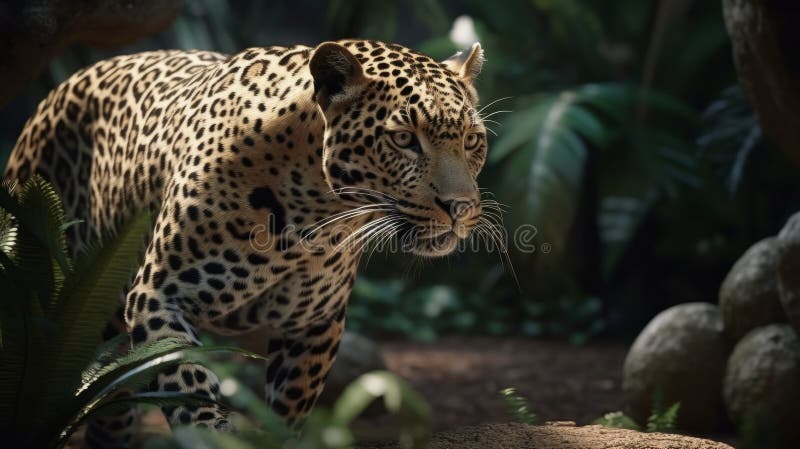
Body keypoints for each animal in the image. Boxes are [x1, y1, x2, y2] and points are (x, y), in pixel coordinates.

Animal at [3, 39, 490, 446]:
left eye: (472, 140)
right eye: (403, 139)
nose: (461, 207)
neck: (311, 215)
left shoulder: (315, 324)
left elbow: (287, 411)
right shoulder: (156, 295)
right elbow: (187, 381)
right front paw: (211, 434)